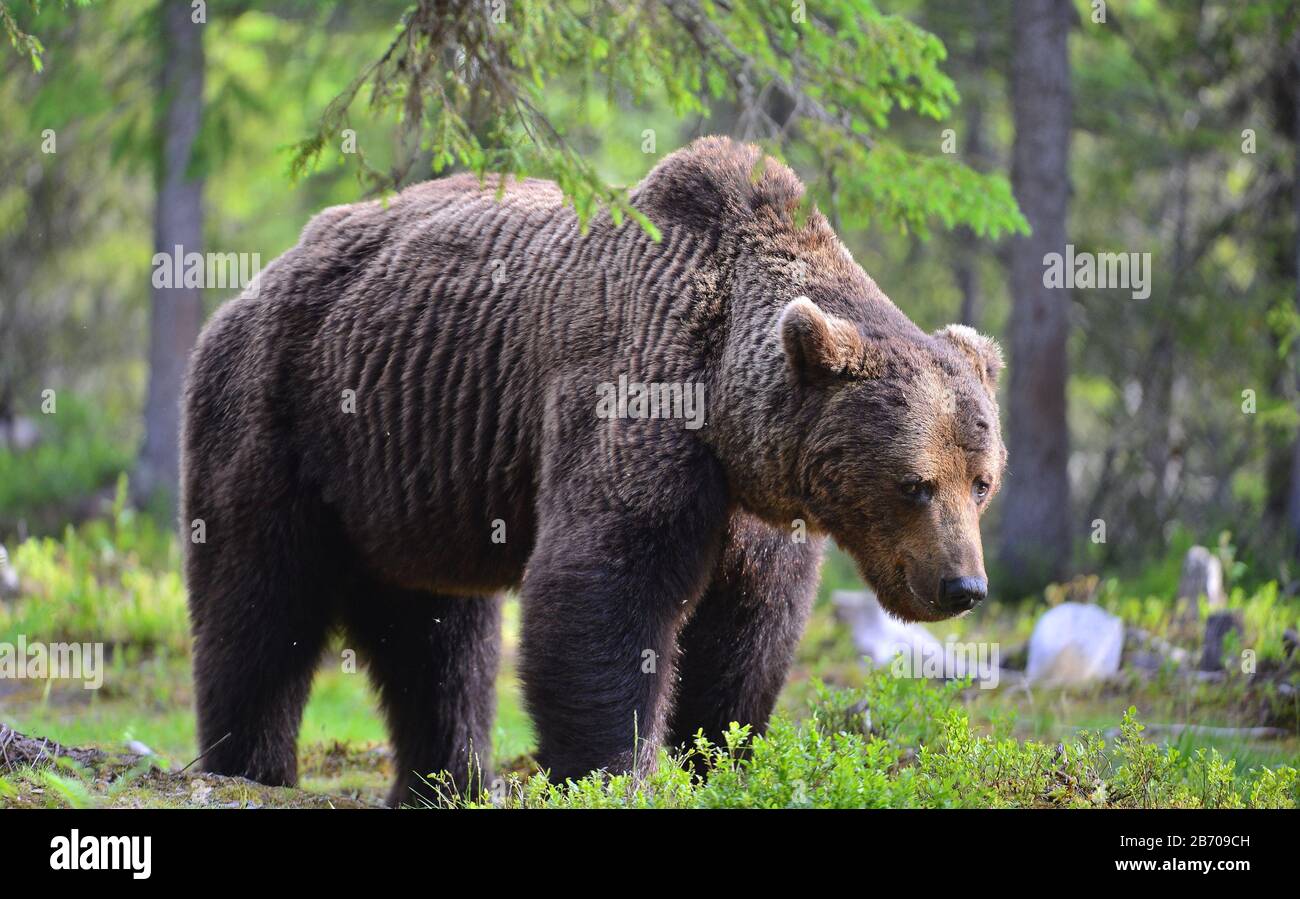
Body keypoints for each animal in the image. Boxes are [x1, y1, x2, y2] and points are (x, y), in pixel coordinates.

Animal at [180, 136, 1005, 806]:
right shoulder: (637, 393)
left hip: (409, 482)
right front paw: (612, 770)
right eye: (915, 482)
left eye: (981, 480)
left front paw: (720, 757)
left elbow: (747, 630)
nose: (962, 585)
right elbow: (604, 588)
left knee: (436, 638)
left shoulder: (756, 504)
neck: (728, 407)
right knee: (258, 597)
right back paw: (249, 764)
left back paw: (448, 781)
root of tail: (258, 281)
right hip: (281, 411)